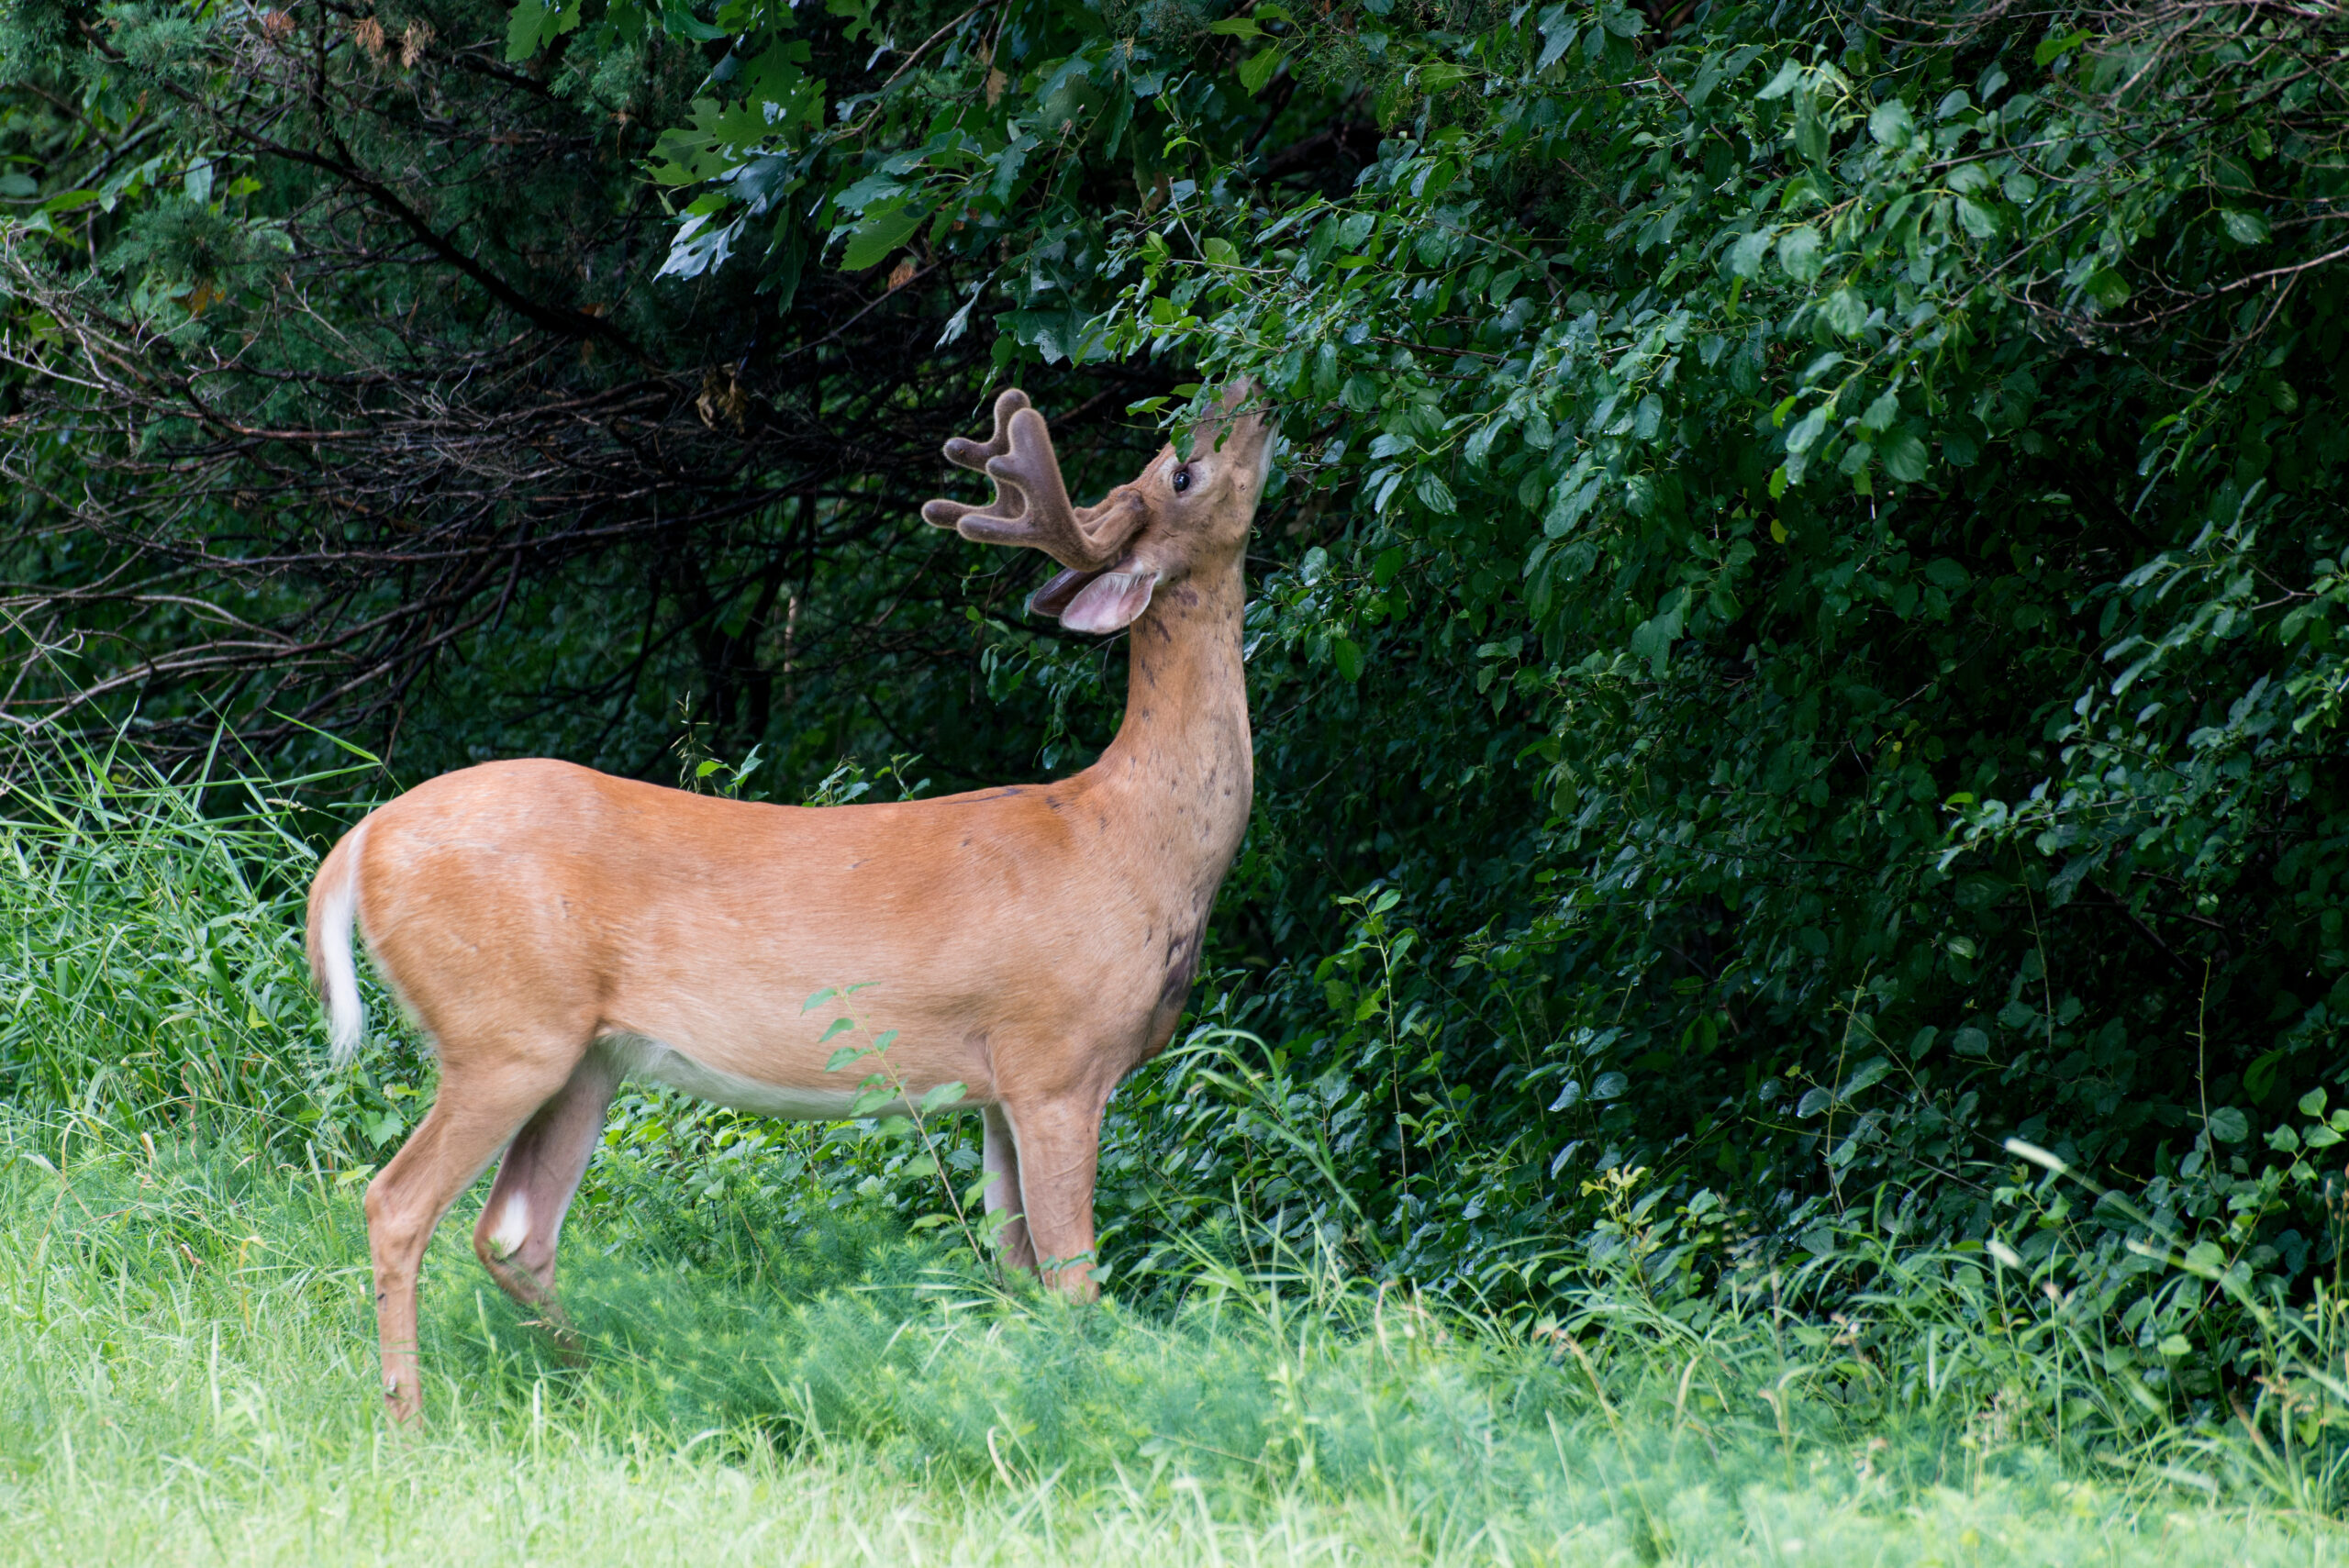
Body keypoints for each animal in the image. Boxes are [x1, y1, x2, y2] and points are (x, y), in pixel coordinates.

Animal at [305, 384, 1272, 1423]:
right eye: (1182, 469)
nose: (1251, 399)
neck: (1128, 837)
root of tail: (362, 844)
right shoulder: (1058, 1057)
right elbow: (1074, 1281)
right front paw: (1084, 1407)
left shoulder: (997, 1088)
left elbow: (1015, 1272)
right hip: (501, 1029)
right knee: (398, 1203)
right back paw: (409, 1417)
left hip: (585, 1057)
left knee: (516, 1233)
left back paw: (607, 1387)